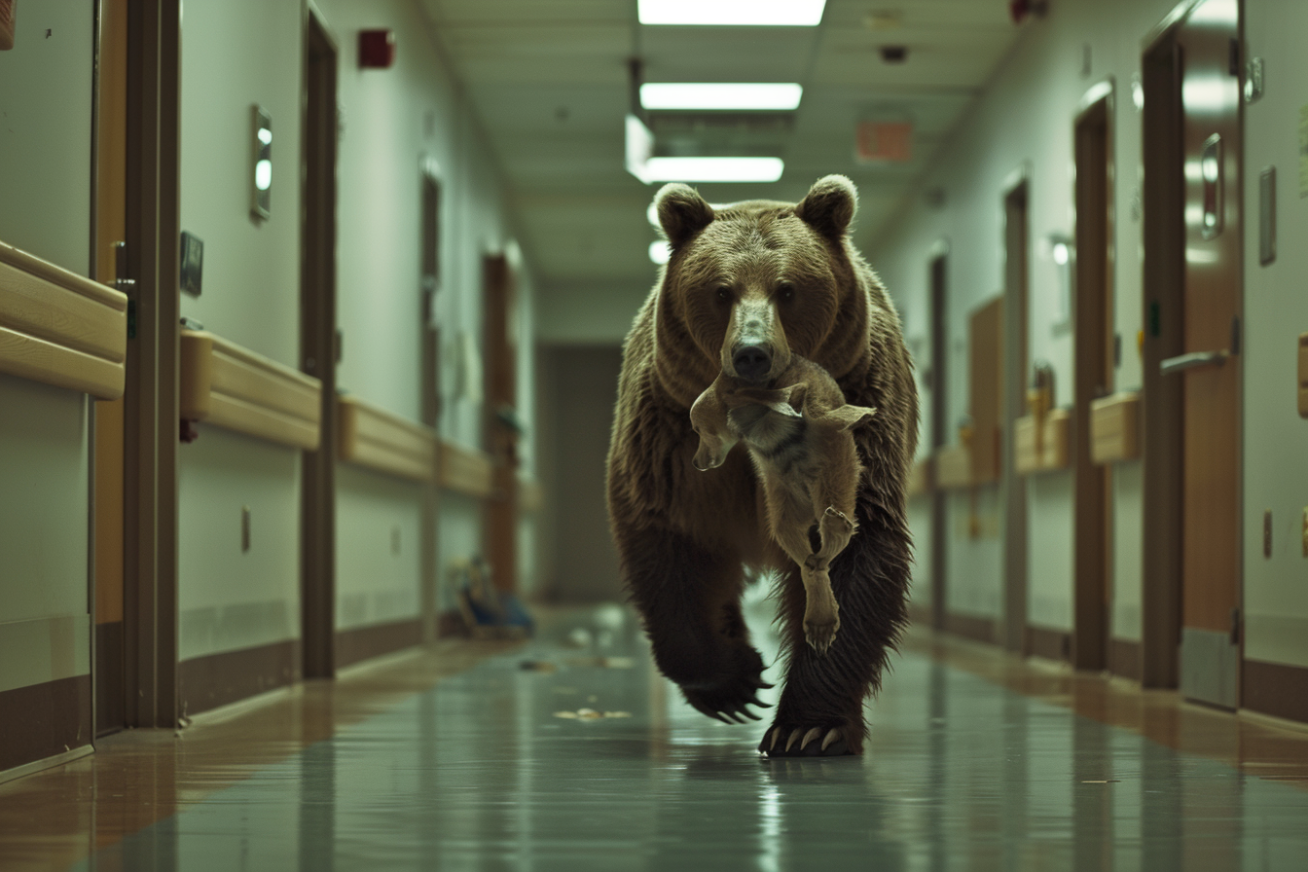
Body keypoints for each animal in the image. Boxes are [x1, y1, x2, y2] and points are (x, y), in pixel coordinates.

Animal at [687, 355, 877, 656]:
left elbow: (797, 399)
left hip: (827, 472)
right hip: (790, 493)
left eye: (697, 428)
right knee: (796, 540)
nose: (697, 462)